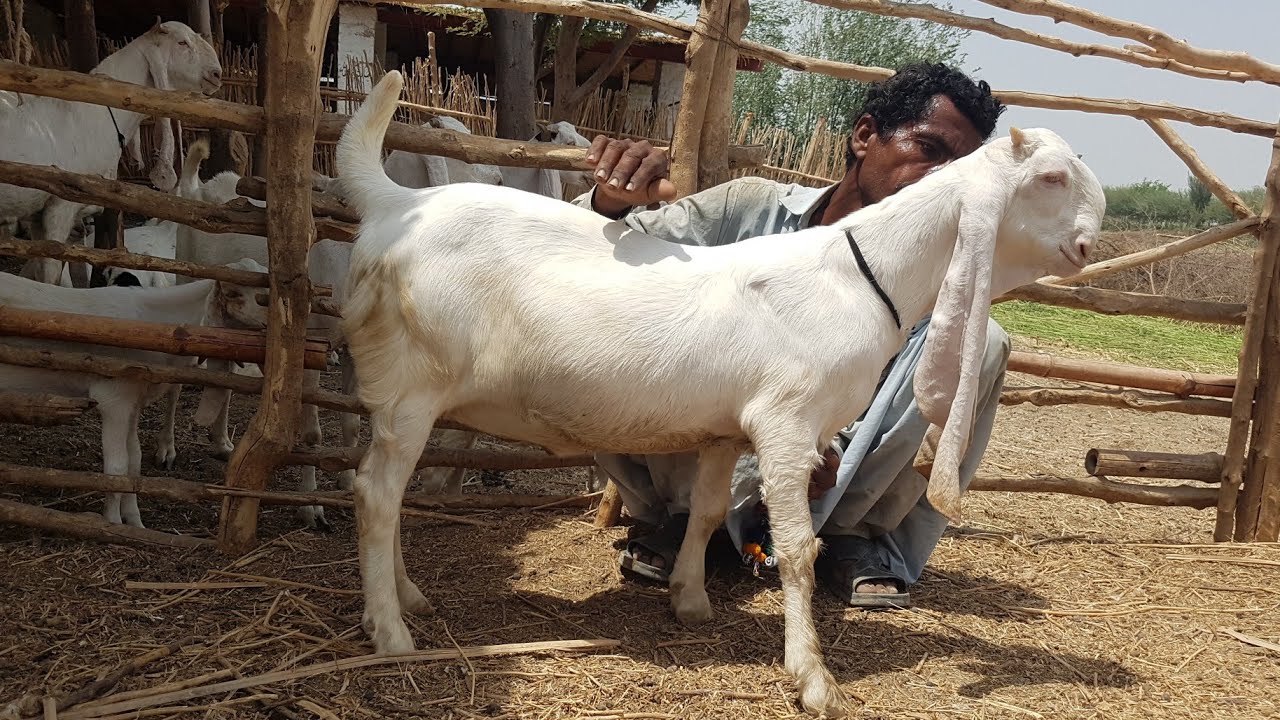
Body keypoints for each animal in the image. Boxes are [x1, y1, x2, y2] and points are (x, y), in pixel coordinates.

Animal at [0, 20, 221, 284]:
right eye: (182, 42)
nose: (217, 74)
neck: (97, 115)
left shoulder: (38, 211)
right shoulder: (60, 202)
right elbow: (51, 269)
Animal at [0, 262, 267, 527]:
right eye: (233, 294)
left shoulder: (133, 401)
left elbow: (134, 462)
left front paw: (135, 521)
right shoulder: (114, 399)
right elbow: (117, 467)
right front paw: (113, 523)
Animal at [335, 71, 1105, 716]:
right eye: (1050, 177)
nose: (1088, 248)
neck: (857, 274)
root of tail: (397, 202)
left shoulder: (726, 431)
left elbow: (706, 513)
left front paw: (691, 600)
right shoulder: (787, 422)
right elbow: (796, 550)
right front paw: (813, 679)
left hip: (411, 394)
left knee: (387, 490)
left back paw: (408, 598)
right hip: (412, 382)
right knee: (376, 493)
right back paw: (391, 632)